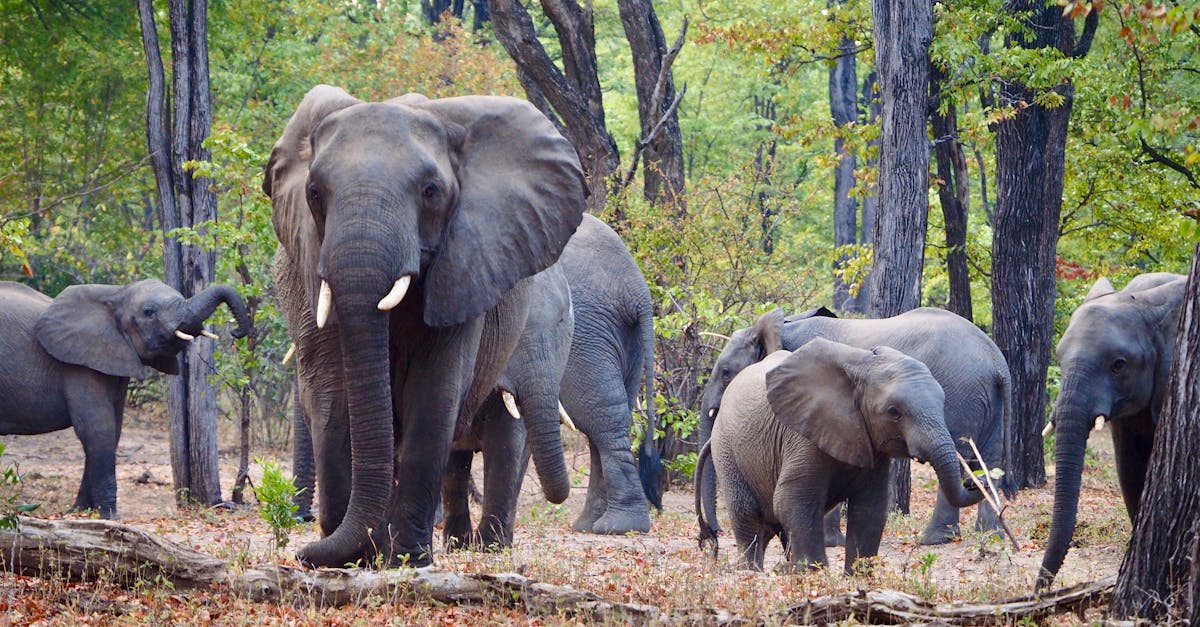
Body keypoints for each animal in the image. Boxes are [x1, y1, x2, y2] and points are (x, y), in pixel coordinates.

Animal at [0, 278, 249, 516]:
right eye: (149, 312)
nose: (235, 333)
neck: (114, 293)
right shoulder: (77, 364)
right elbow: (98, 428)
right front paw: (109, 517)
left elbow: (113, 430)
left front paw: (81, 512)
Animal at [262, 84, 585, 566]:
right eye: (314, 193)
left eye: (431, 191)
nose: (302, 552)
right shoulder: (308, 274)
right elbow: (332, 393)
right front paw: (357, 557)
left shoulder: (464, 269)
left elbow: (436, 392)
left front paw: (407, 560)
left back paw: (475, 547)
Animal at [696, 305, 1012, 542]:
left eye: (726, 372)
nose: (714, 532)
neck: (782, 325)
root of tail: (997, 362)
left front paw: (828, 542)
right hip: (988, 400)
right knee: (989, 460)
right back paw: (990, 534)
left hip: (960, 395)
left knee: (959, 458)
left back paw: (934, 539)